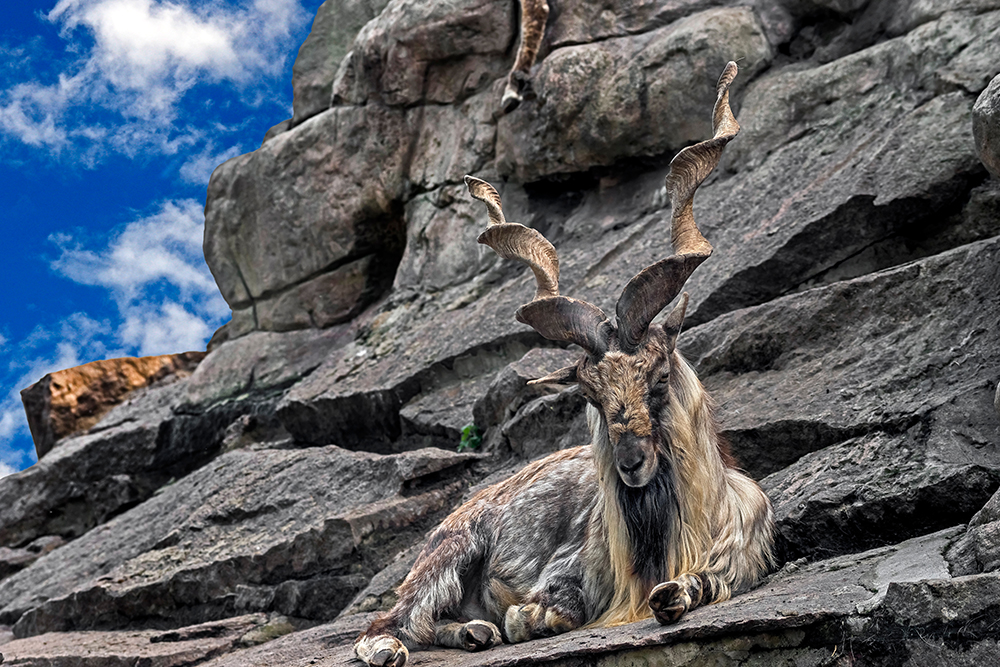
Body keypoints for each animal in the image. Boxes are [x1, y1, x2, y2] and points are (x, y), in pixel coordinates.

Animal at [355, 62, 775, 667]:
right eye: (591, 395)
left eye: (659, 376)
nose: (630, 463)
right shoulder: (565, 572)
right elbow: (551, 609)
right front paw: (521, 620)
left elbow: (694, 587)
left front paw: (672, 596)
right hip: (451, 554)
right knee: (392, 619)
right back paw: (397, 647)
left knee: (430, 623)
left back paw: (472, 632)